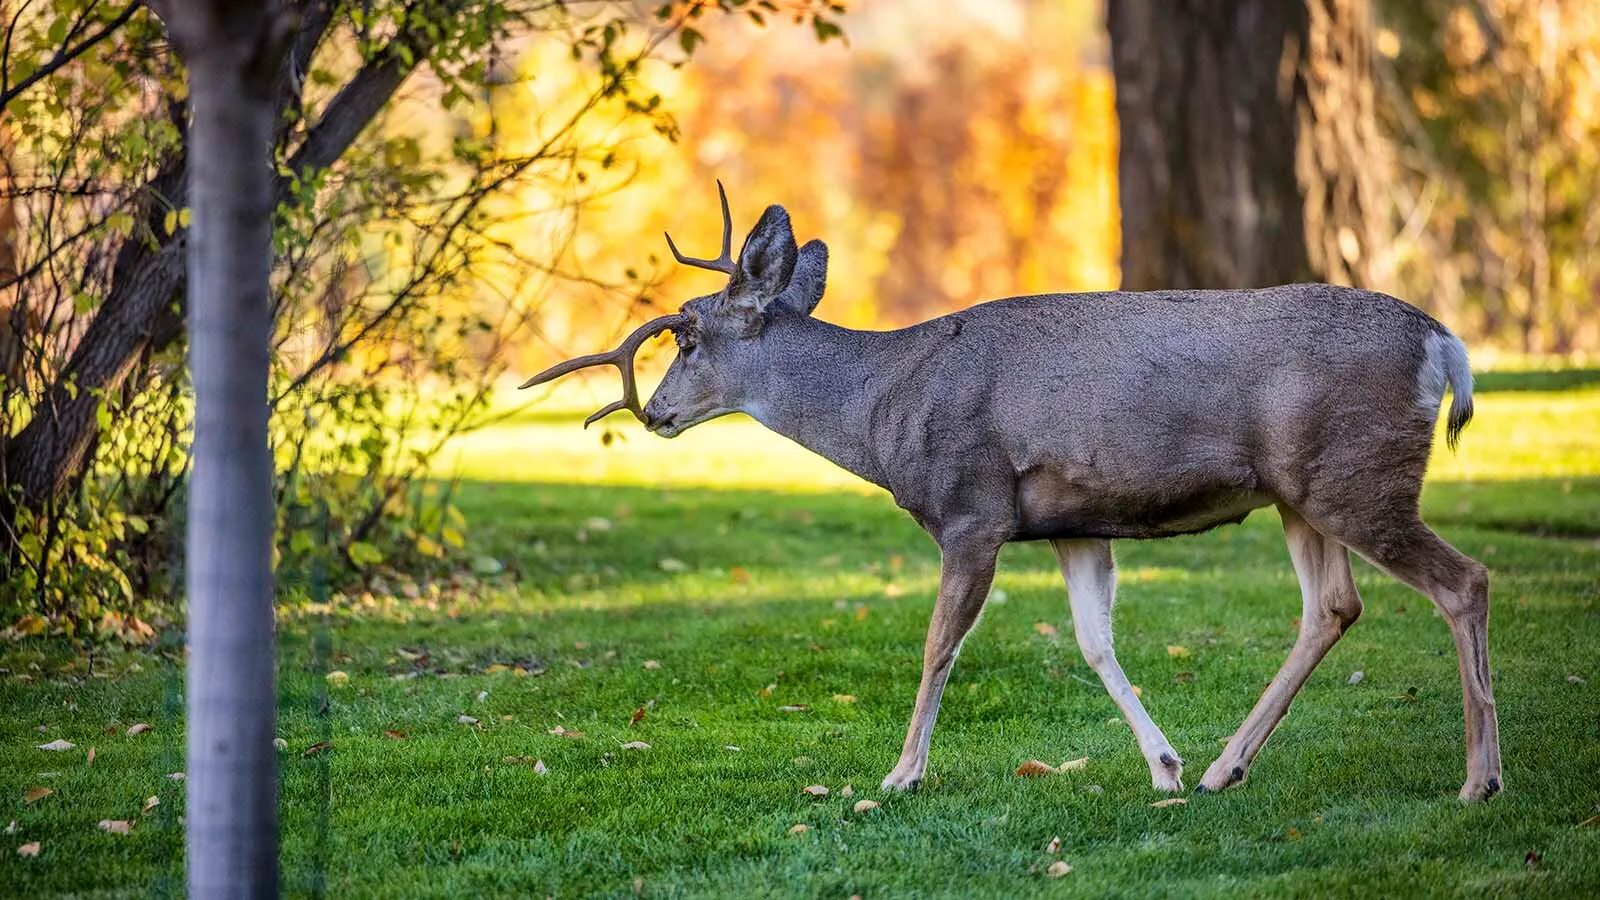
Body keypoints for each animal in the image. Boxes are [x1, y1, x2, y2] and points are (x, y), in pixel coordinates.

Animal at [522, 184, 1502, 803]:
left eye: (686, 338)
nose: (655, 412)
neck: (885, 407)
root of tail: (1445, 345)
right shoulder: (1075, 521)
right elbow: (1094, 643)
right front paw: (1163, 766)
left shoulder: (971, 507)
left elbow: (936, 648)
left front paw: (899, 776)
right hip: (1303, 493)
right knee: (1332, 607)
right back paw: (1226, 768)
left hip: (1357, 475)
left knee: (1464, 581)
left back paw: (1478, 780)